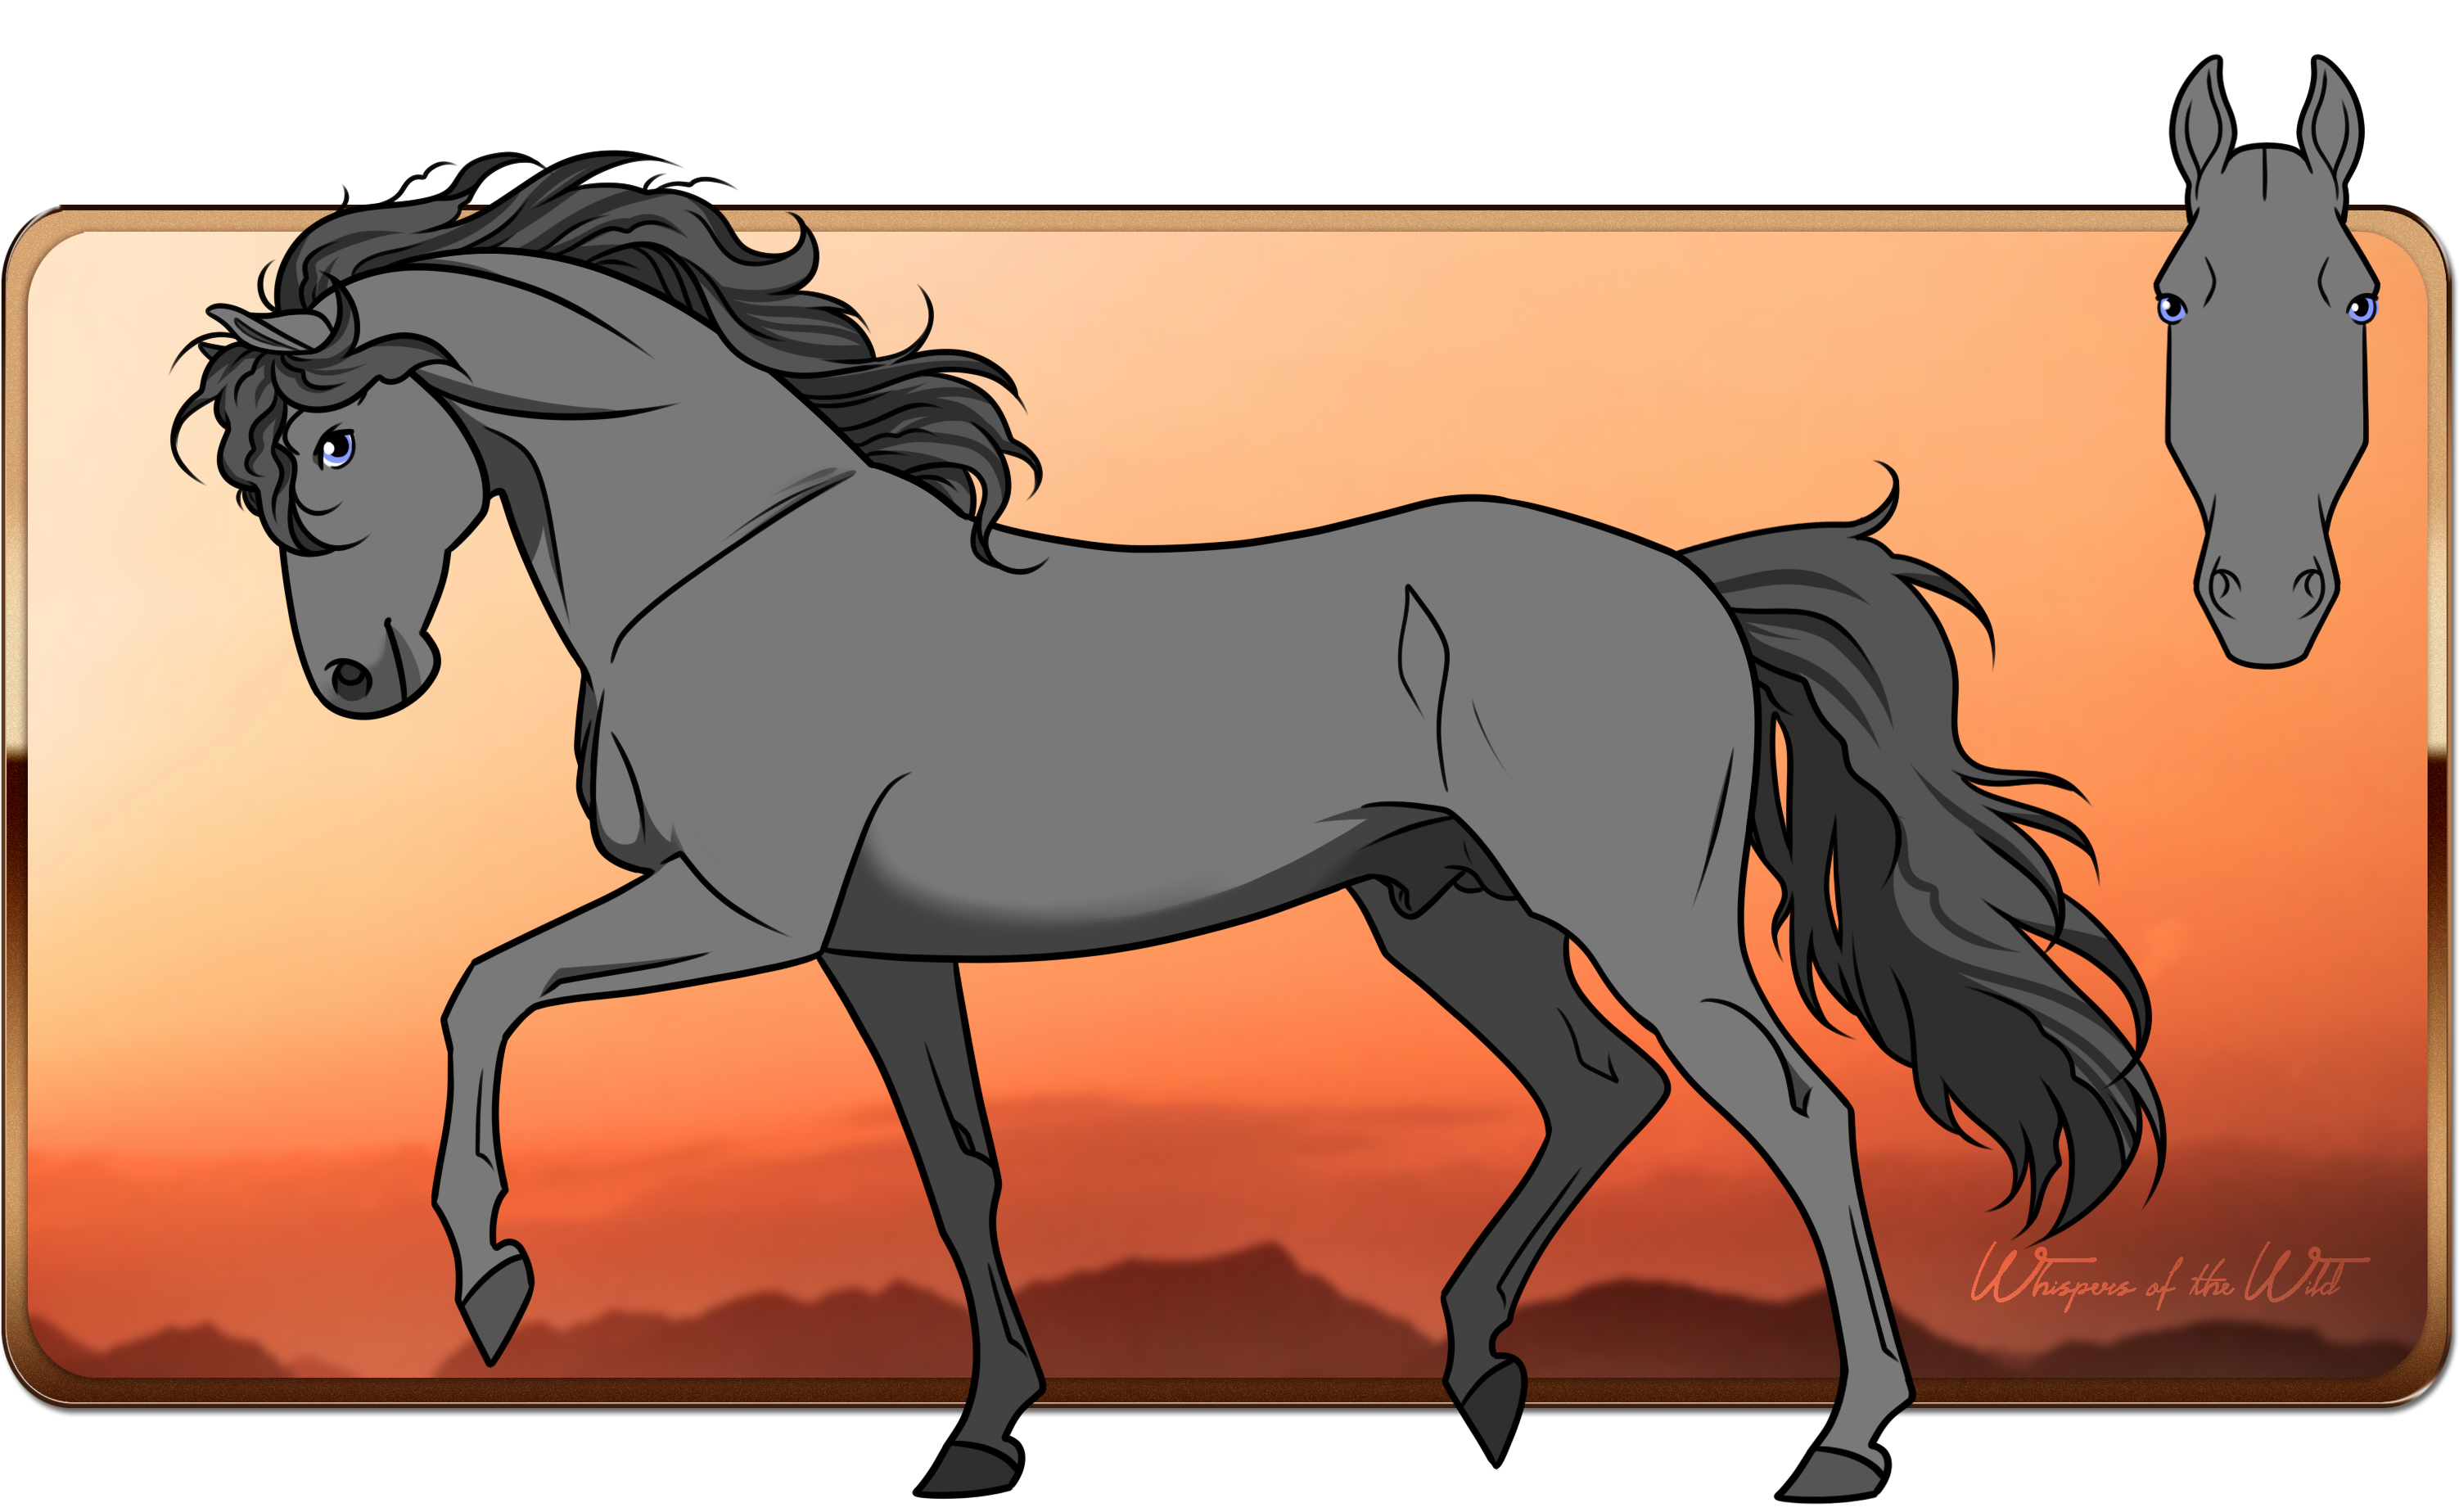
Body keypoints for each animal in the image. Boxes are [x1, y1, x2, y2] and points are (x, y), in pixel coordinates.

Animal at [173, 165, 2162, 1497]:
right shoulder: (872, 947)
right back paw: (1477, 1369)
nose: (358, 678)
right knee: (1601, 1089)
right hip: (1447, 910)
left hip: (1633, 909)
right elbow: (957, 1164)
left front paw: (492, 1279)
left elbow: (482, 988)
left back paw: (1843, 1437)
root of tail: (1684, 579)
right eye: (262, 478)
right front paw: (986, 1427)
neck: (734, 569)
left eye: (331, 447)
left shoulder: (743, 908)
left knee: (1793, 1111)